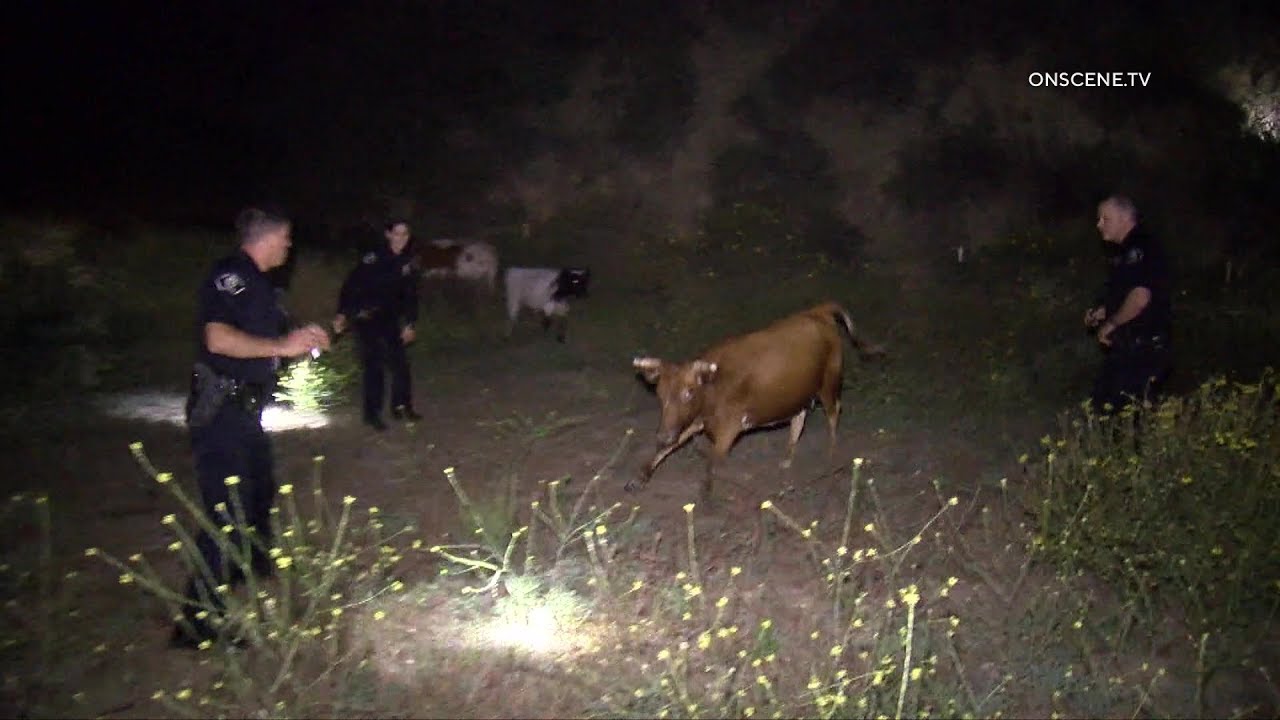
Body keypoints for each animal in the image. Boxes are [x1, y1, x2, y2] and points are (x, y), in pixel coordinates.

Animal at [629, 302, 885, 499]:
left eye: (689, 392)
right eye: (660, 394)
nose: (662, 434)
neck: (714, 388)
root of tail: (818, 311)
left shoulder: (729, 428)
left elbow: (711, 460)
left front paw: (706, 494)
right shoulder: (695, 420)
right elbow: (669, 447)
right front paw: (640, 477)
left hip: (829, 382)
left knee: (834, 412)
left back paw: (831, 456)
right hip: (797, 392)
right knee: (799, 419)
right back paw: (787, 459)